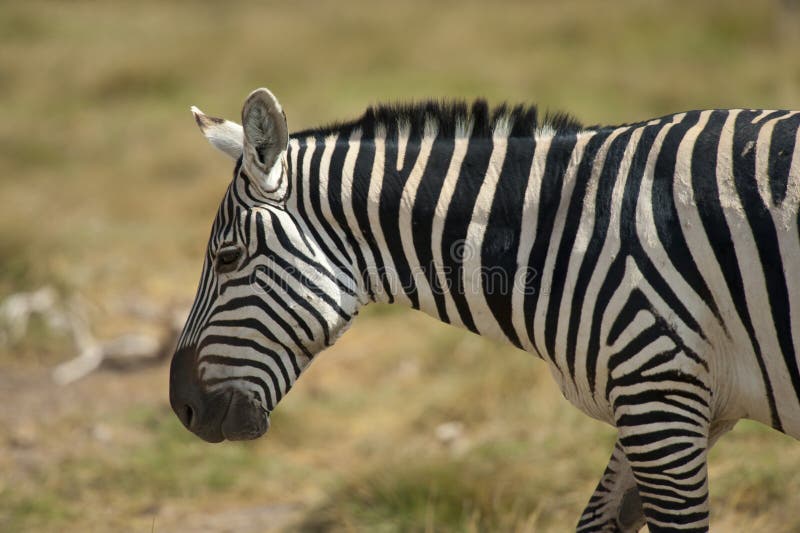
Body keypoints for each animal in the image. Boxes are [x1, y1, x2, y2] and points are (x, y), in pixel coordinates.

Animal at [169, 87, 800, 532]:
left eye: (227, 257)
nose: (182, 408)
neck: (566, 235)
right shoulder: (667, 405)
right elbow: (597, 521)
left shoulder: (659, 391)